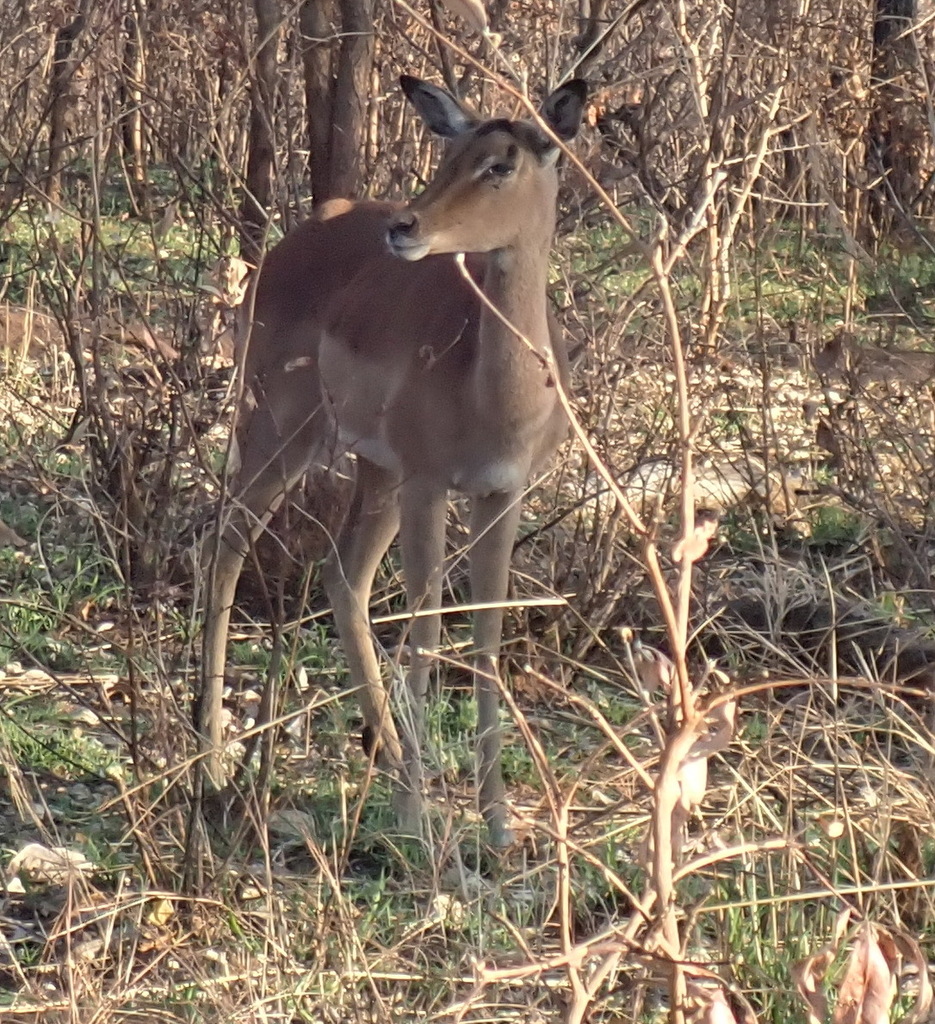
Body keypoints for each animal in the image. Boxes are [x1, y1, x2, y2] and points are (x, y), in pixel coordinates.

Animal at [199, 73, 587, 846]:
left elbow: (486, 641)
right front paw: (417, 820)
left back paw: (381, 743)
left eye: (500, 163)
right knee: (227, 543)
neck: (496, 390)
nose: (406, 227)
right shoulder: (430, 484)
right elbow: (427, 630)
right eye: (449, 152)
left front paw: (497, 828)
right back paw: (212, 758)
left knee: (341, 572)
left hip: (372, 470)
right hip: (284, 435)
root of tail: (303, 233)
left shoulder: (500, 493)